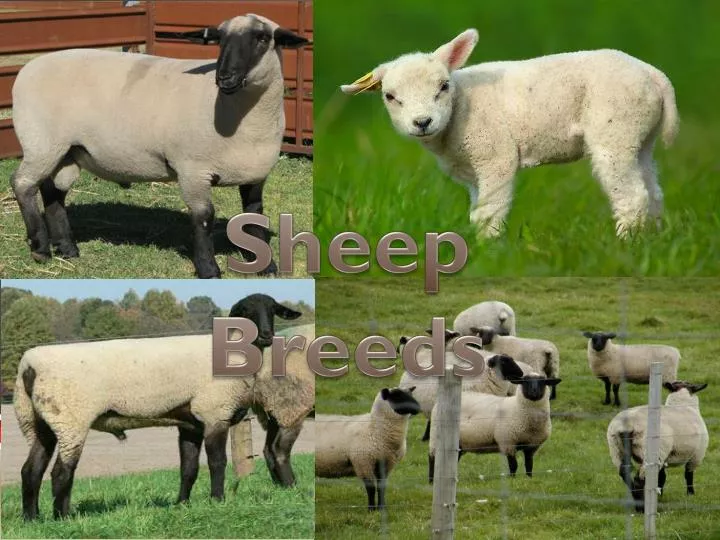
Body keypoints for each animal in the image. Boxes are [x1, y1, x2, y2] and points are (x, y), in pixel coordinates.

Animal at [10, 14, 309, 278]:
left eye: (262, 38)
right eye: (220, 39)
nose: (224, 78)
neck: (237, 114)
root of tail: (27, 68)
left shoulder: (255, 173)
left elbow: (254, 215)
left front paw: (266, 266)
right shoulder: (193, 169)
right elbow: (204, 217)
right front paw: (209, 270)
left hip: (67, 151)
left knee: (52, 192)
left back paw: (67, 249)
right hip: (41, 141)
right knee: (23, 184)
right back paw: (41, 249)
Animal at [13, 294, 313, 520]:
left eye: (272, 310)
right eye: (245, 311)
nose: (266, 336)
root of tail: (30, 364)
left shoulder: (191, 423)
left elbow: (188, 468)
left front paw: (182, 505)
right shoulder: (214, 412)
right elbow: (217, 462)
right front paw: (218, 500)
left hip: (39, 420)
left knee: (31, 470)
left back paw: (32, 519)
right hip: (70, 418)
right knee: (61, 472)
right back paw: (62, 518)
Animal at [341, 30, 678, 238]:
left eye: (443, 86)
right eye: (390, 97)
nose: (422, 122)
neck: (462, 104)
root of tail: (654, 75)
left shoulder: (494, 155)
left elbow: (489, 211)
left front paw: (487, 248)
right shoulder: (474, 171)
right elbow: (478, 209)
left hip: (615, 129)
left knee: (631, 195)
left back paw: (626, 243)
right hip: (639, 135)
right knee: (653, 191)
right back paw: (652, 239)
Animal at [429, 356, 561, 482]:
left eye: (543, 383)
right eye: (524, 382)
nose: (534, 392)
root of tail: (438, 403)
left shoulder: (531, 445)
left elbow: (529, 465)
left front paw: (529, 478)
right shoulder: (508, 442)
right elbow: (513, 465)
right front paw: (512, 480)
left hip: (459, 443)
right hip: (436, 436)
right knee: (432, 458)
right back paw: (431, 481)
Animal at [606, 381, 709, 512]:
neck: (683, 406)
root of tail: (628, 425)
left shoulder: (665, 458)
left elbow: (662, 477)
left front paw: (660, 495)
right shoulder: (697, 455)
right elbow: (688, 475)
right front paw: (690, 494)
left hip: (616, 449)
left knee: (625, 473)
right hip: (651, 451)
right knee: (639, 479)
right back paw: (641, 507)